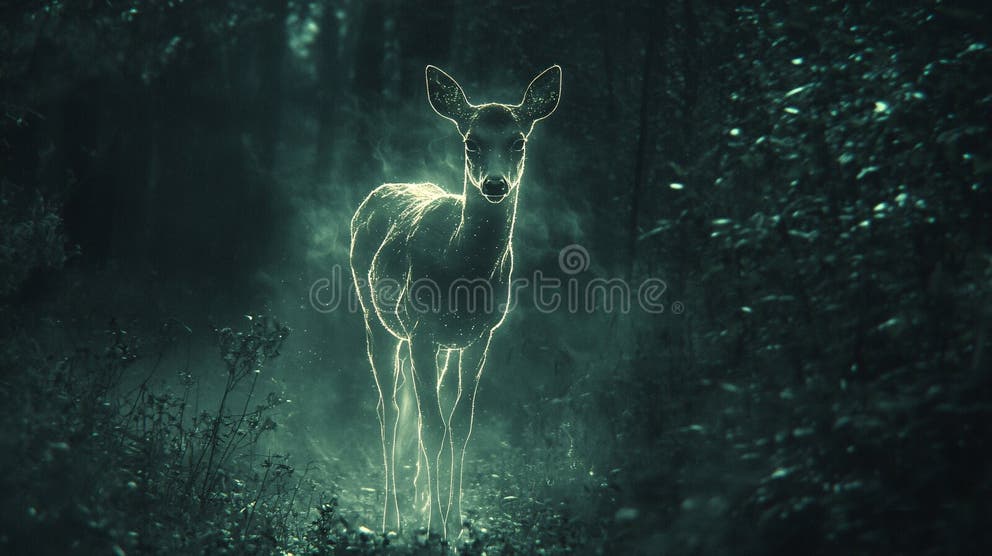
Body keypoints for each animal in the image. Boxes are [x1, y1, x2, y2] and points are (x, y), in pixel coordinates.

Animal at [349, 64, 561, 538]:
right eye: (471, 141)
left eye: (518, 141)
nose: (495, 184)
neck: (462, 264)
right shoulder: (420, 330)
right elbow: (432, 427)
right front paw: (433, 526)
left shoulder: (482, 334)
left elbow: (459, 425)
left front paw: (455, 521)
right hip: (379, 320)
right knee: (390, 410)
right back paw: (392, 518)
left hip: (443, 344)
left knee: (424, 409)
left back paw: (421, 499)